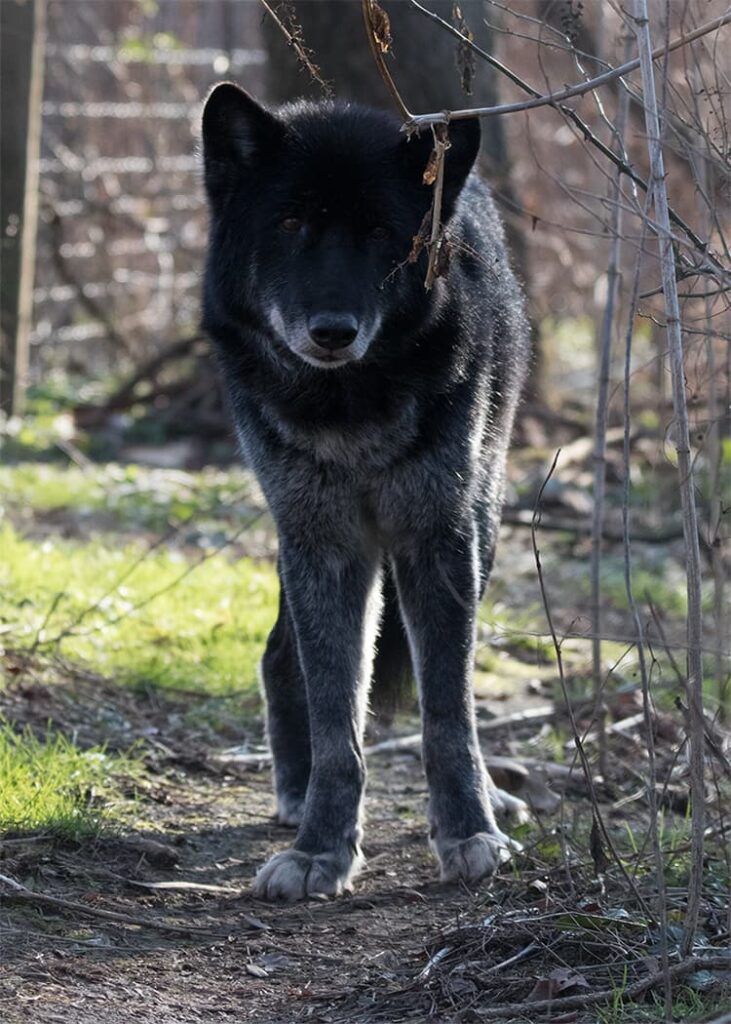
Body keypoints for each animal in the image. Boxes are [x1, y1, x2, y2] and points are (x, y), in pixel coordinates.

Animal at [201, 84, 531, 901]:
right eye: (289, 224)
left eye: (380, 233)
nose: (332, 331)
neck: (347, 408)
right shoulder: (324, 544)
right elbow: (336, 718)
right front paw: (321, 847)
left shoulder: (437, 539)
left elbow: (449, 711)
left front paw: (471, 831)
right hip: (303, 541)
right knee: (279, 655)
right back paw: (294, 791)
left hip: (483, 525)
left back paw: (494, 795)